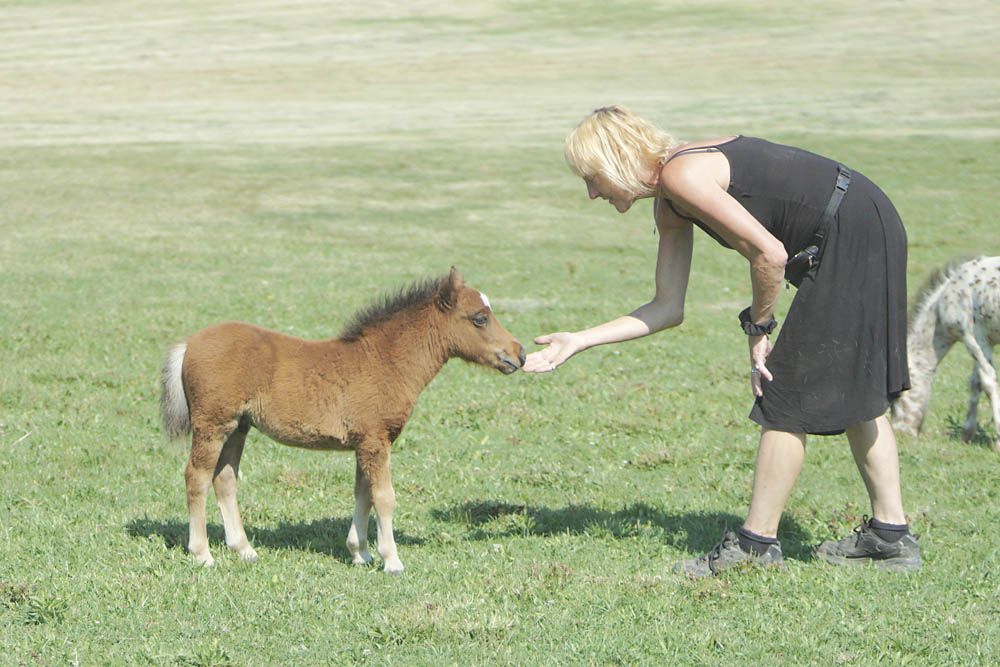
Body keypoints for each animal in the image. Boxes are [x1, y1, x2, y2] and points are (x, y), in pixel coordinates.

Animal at [160, 268, 525, 572]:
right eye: (479, 319)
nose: (518, 354)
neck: (384, 362)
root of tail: (188, 343)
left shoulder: (366, 443)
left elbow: (363, 493)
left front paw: (360, 553)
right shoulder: (376, 442)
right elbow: (384, 497)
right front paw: (391, 560)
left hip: (238, 427)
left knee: (224, 478)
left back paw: (244, 549)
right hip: (212, 424)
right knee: (196, 477)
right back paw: (202, 553)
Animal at [891, 256, 1000, 452]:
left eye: (897, 396)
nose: (900, 433)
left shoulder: (975, 338)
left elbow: (987, 381)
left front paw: (999, 441)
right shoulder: (985, 342)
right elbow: (975, 382)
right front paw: (966, 434)